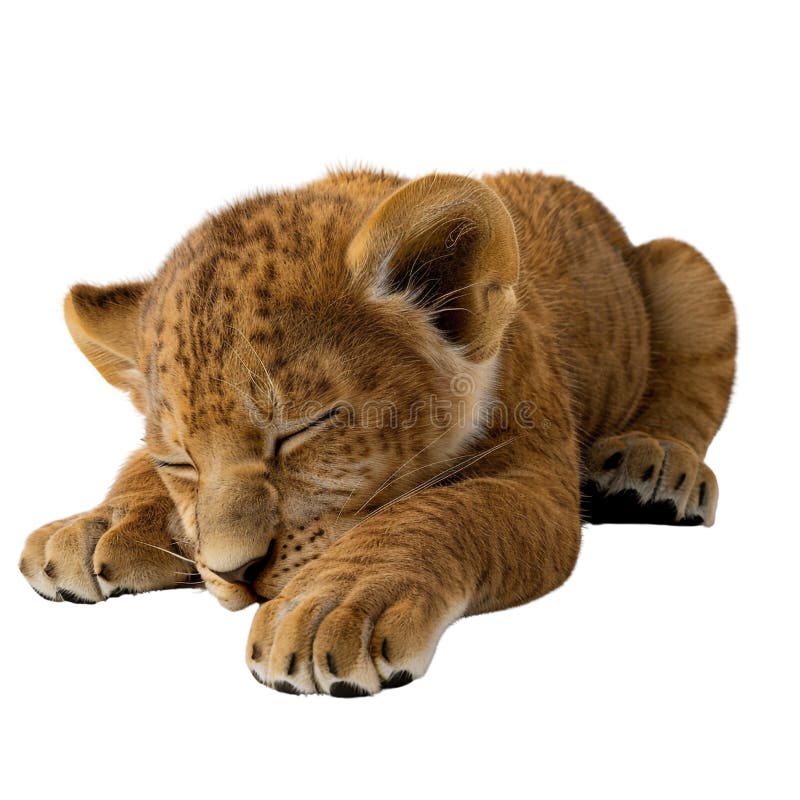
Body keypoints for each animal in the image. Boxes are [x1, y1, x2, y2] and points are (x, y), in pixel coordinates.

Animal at [18, 169, 736, 696]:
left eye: (302, 430)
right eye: (179, 462)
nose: (236, 573)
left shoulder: (537, 479)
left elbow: (440, 510)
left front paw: (328, 607)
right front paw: (100, 524)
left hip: (686, 269)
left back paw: (650, 468)